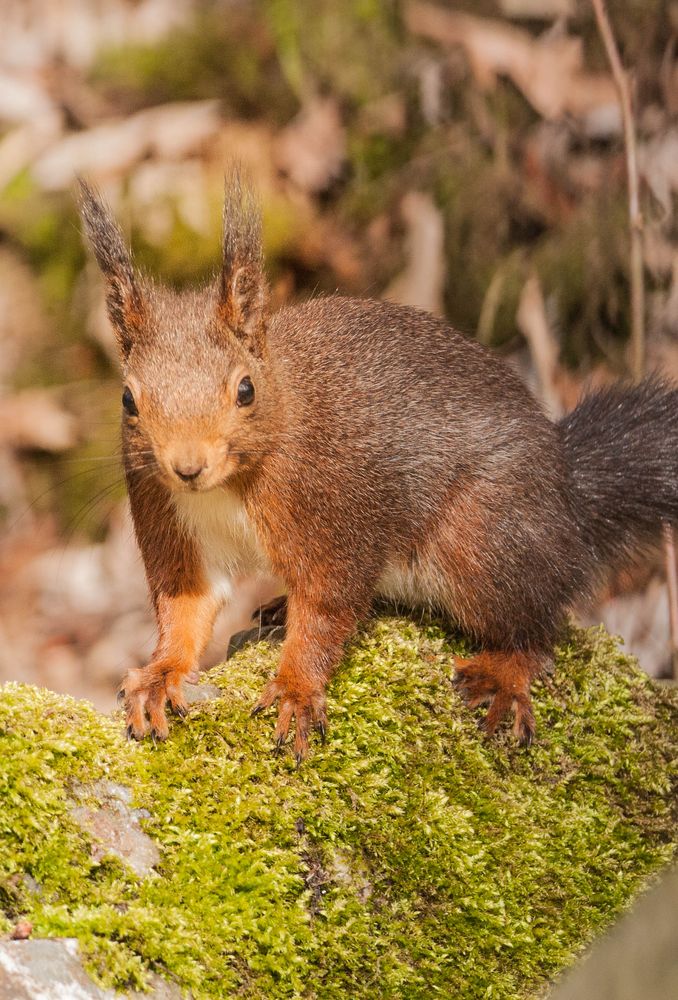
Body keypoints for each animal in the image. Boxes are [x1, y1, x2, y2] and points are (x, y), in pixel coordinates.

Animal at [78, 175, 678, 761]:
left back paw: (506, 675)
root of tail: (567, 496)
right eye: (129, 400)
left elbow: (328, 605)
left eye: (245, 390)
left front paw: (296, 688)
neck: (229, 486)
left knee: (538, 619)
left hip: (481, 538)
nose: (187, 467)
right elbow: (187, 606)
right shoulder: (166, 512)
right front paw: (160, 676)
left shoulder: (334, 511)